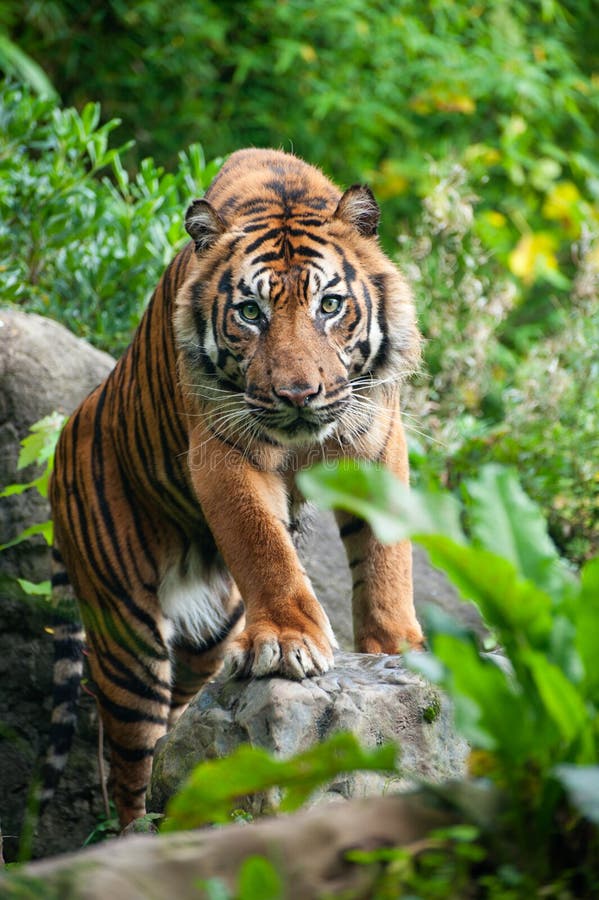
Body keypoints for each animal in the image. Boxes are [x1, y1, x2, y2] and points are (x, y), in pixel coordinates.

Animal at [42, 148, 423, 827]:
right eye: (250, 313)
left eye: (330, 305)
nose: (298, 395)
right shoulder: (224, 447)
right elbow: (262, 543)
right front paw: (289, 644)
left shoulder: (376, 432)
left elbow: (386, 553)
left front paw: (395, 647)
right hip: (127, 639)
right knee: (127, 762)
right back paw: (143, 829)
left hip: (208, 636)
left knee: (171, 727)